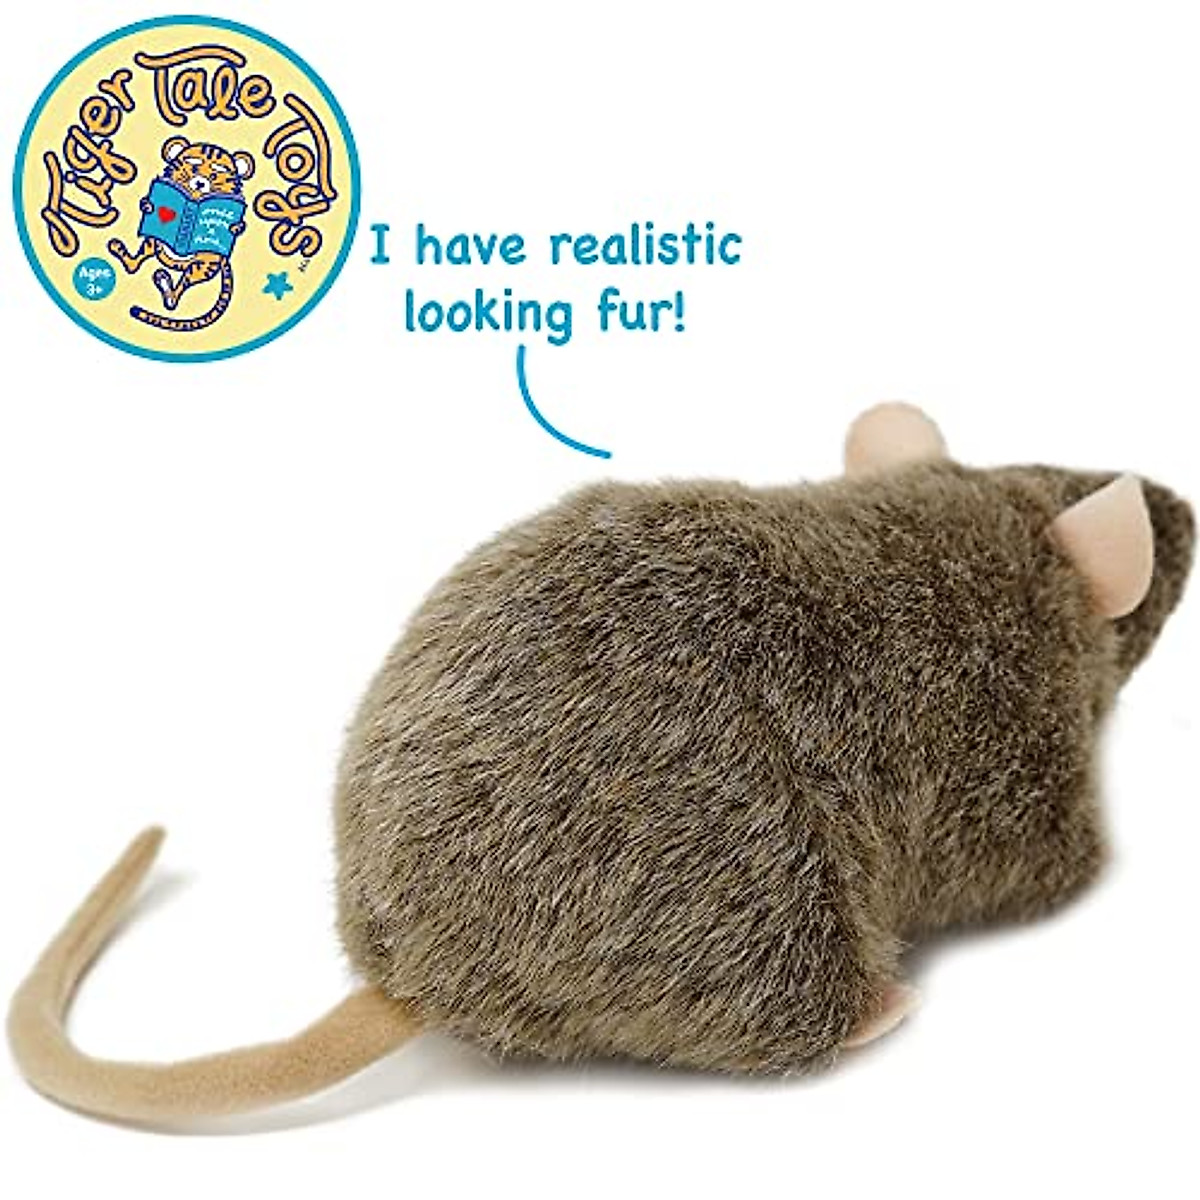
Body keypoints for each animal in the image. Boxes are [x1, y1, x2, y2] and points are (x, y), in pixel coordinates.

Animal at [107, 137, 254, 332]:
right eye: (193, 169)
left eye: (215, 176)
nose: (200, 183)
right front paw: (147, 205)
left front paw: (235, 227)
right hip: (154, 241)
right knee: (135, 263)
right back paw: (121, 251)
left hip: (202, 265)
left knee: (176, 294)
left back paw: (165, 283)